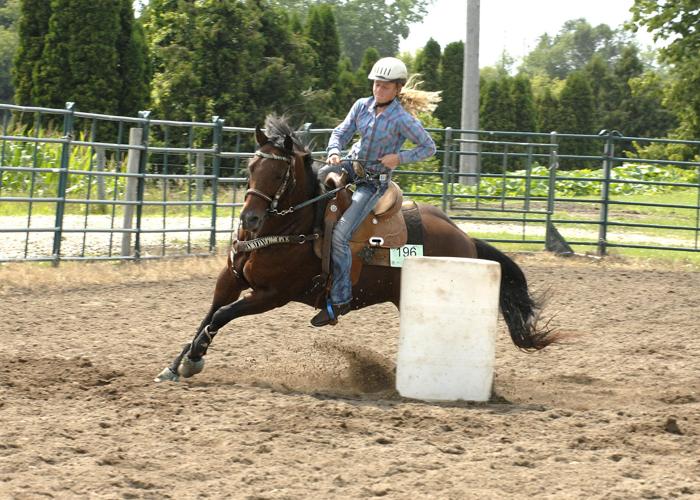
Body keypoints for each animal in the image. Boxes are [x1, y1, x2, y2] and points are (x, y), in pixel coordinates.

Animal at [155, 115, 556, 382]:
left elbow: (222, 316)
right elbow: (209, 315)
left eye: (280, 174)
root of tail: (466, 238)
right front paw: (176, 364)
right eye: (251, 166)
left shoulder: (272, 295)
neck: (296, 227)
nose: (249, 219)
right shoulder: (231, 278)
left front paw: (194, 360)